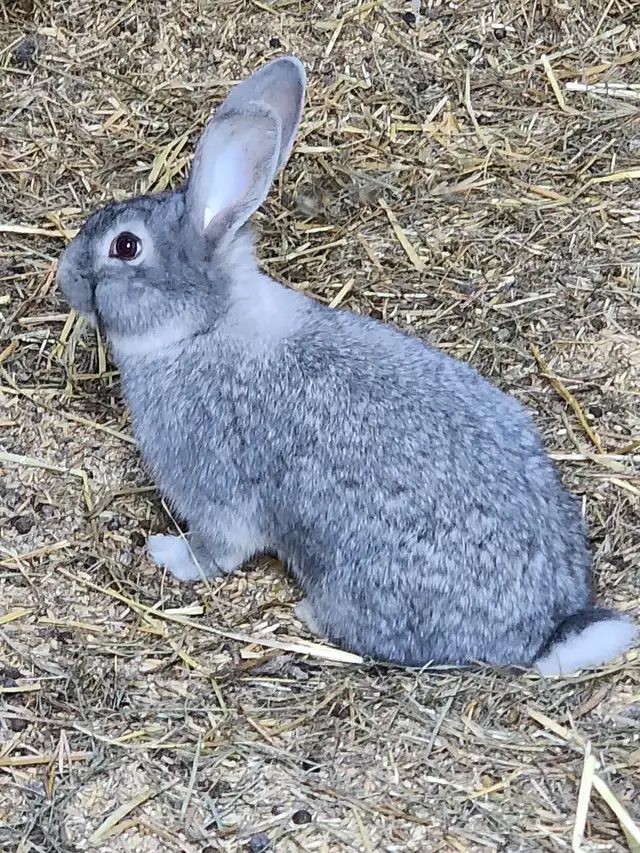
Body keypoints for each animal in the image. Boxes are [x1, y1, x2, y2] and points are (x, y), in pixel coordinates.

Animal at [56, 56, 637, 675]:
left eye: (125, 247)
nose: (65, 275)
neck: (202, 327)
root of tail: (544, 632)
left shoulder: (214, 485)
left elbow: (218, 550)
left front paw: (165, 553)